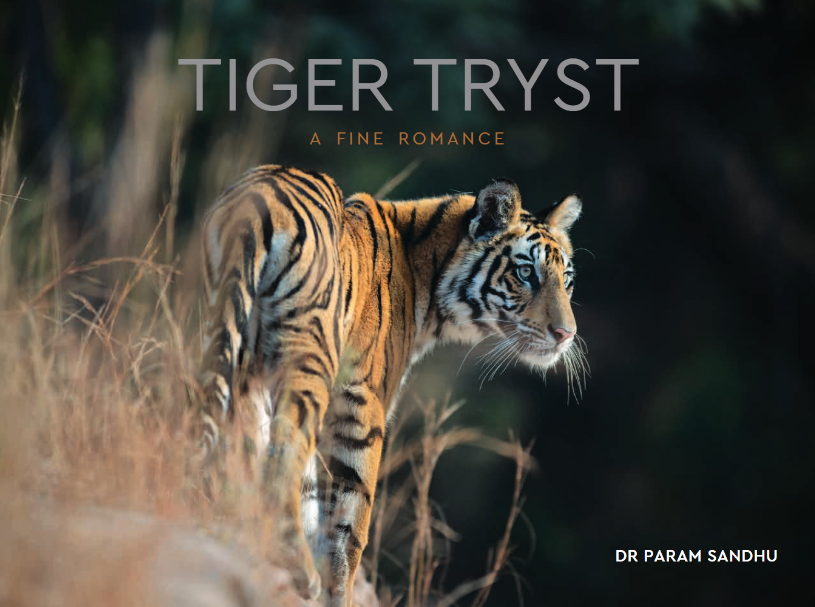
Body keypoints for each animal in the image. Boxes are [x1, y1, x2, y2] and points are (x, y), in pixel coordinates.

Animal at [198, 165, 583, 606]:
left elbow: (314, 498)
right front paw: (337, 592)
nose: (566, 335)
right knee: (283, 459)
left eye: (566, 279)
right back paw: (297, 567)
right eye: (525, 272)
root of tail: (259, 198)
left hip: (225, 342)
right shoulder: (363, 408)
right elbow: (348, 526)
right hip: (308, 356)